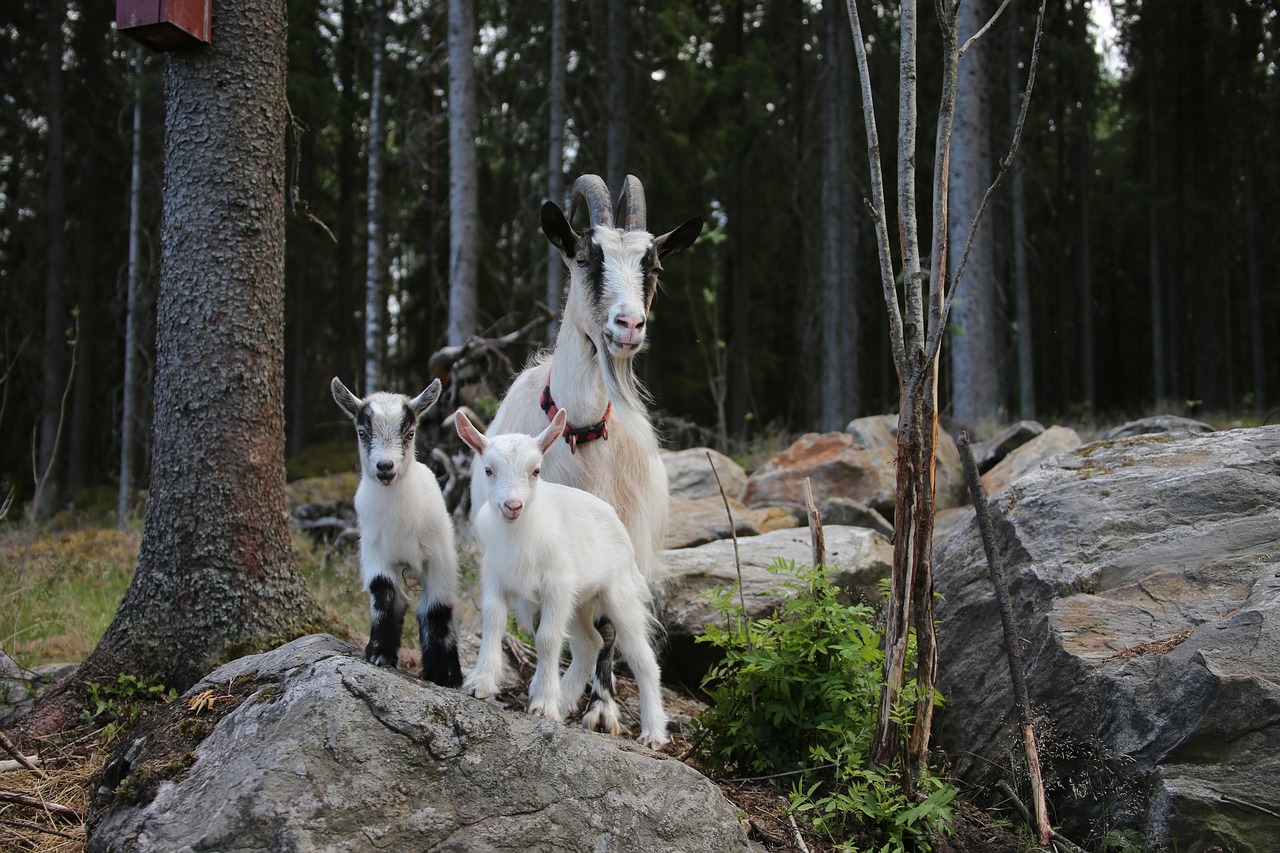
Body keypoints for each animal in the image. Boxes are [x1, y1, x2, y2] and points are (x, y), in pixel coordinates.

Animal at [331, 376, 462, 688]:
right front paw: (379, 652)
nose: (385, 467)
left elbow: (437, 609)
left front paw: (446, 675)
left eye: (410, 433)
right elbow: (384, 592)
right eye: (362, 432)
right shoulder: (374, 551)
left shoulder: (439, 557)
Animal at [457, 407, 669, 747]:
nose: (512, 506)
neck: (521, 536)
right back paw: (565, 699)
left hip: (618, 595)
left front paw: (543, 705)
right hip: (579, 603)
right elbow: (494, 625)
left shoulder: (556, 587)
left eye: (536, 471)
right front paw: (480, 684)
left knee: (643, 659)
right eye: (488, 470)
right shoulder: (495, 580)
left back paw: (653, 733)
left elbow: (546, 639)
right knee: (590, 644)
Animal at [471, 174, 701, 732]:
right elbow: (544, 622)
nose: (628, 325)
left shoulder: (624, 542)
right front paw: (550, 694)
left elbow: (604, 629)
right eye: (584, 257)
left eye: (653, 265)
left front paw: (602, 710)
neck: (580, 432)